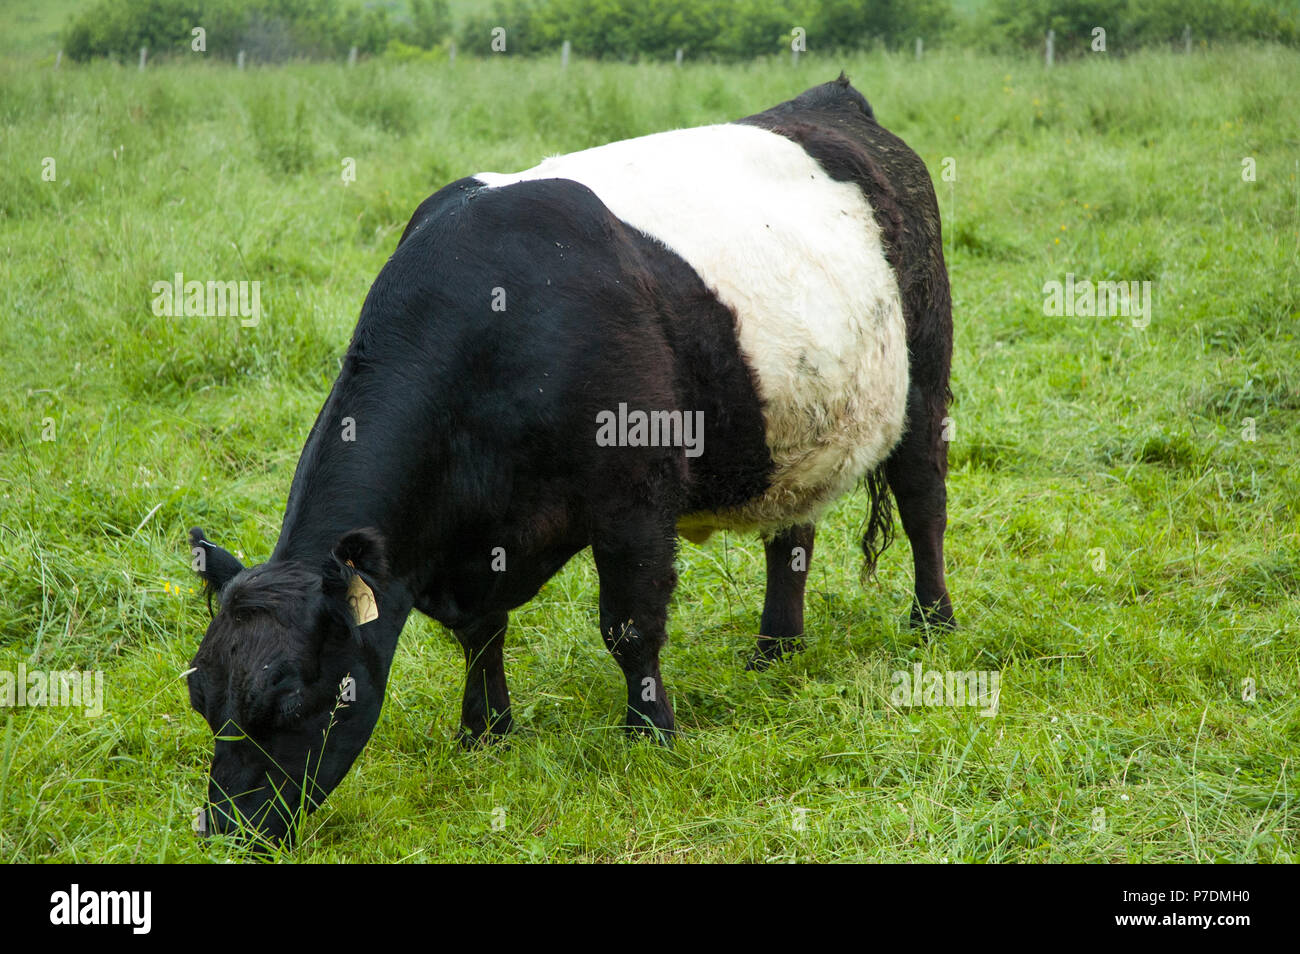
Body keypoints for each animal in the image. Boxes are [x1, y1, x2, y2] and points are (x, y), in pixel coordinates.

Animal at [185, 74, 954, 848]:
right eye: (200, 695)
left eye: (288, 698)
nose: (224, 828)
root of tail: (832, 99)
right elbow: (481, 634)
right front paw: (485, 733)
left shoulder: (634, 498)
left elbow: (630, 624)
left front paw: (650, 733)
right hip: (795, 428)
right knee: (790, 534)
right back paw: (775, 649)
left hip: (926, 380)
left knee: (923, 505)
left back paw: (932, 624)